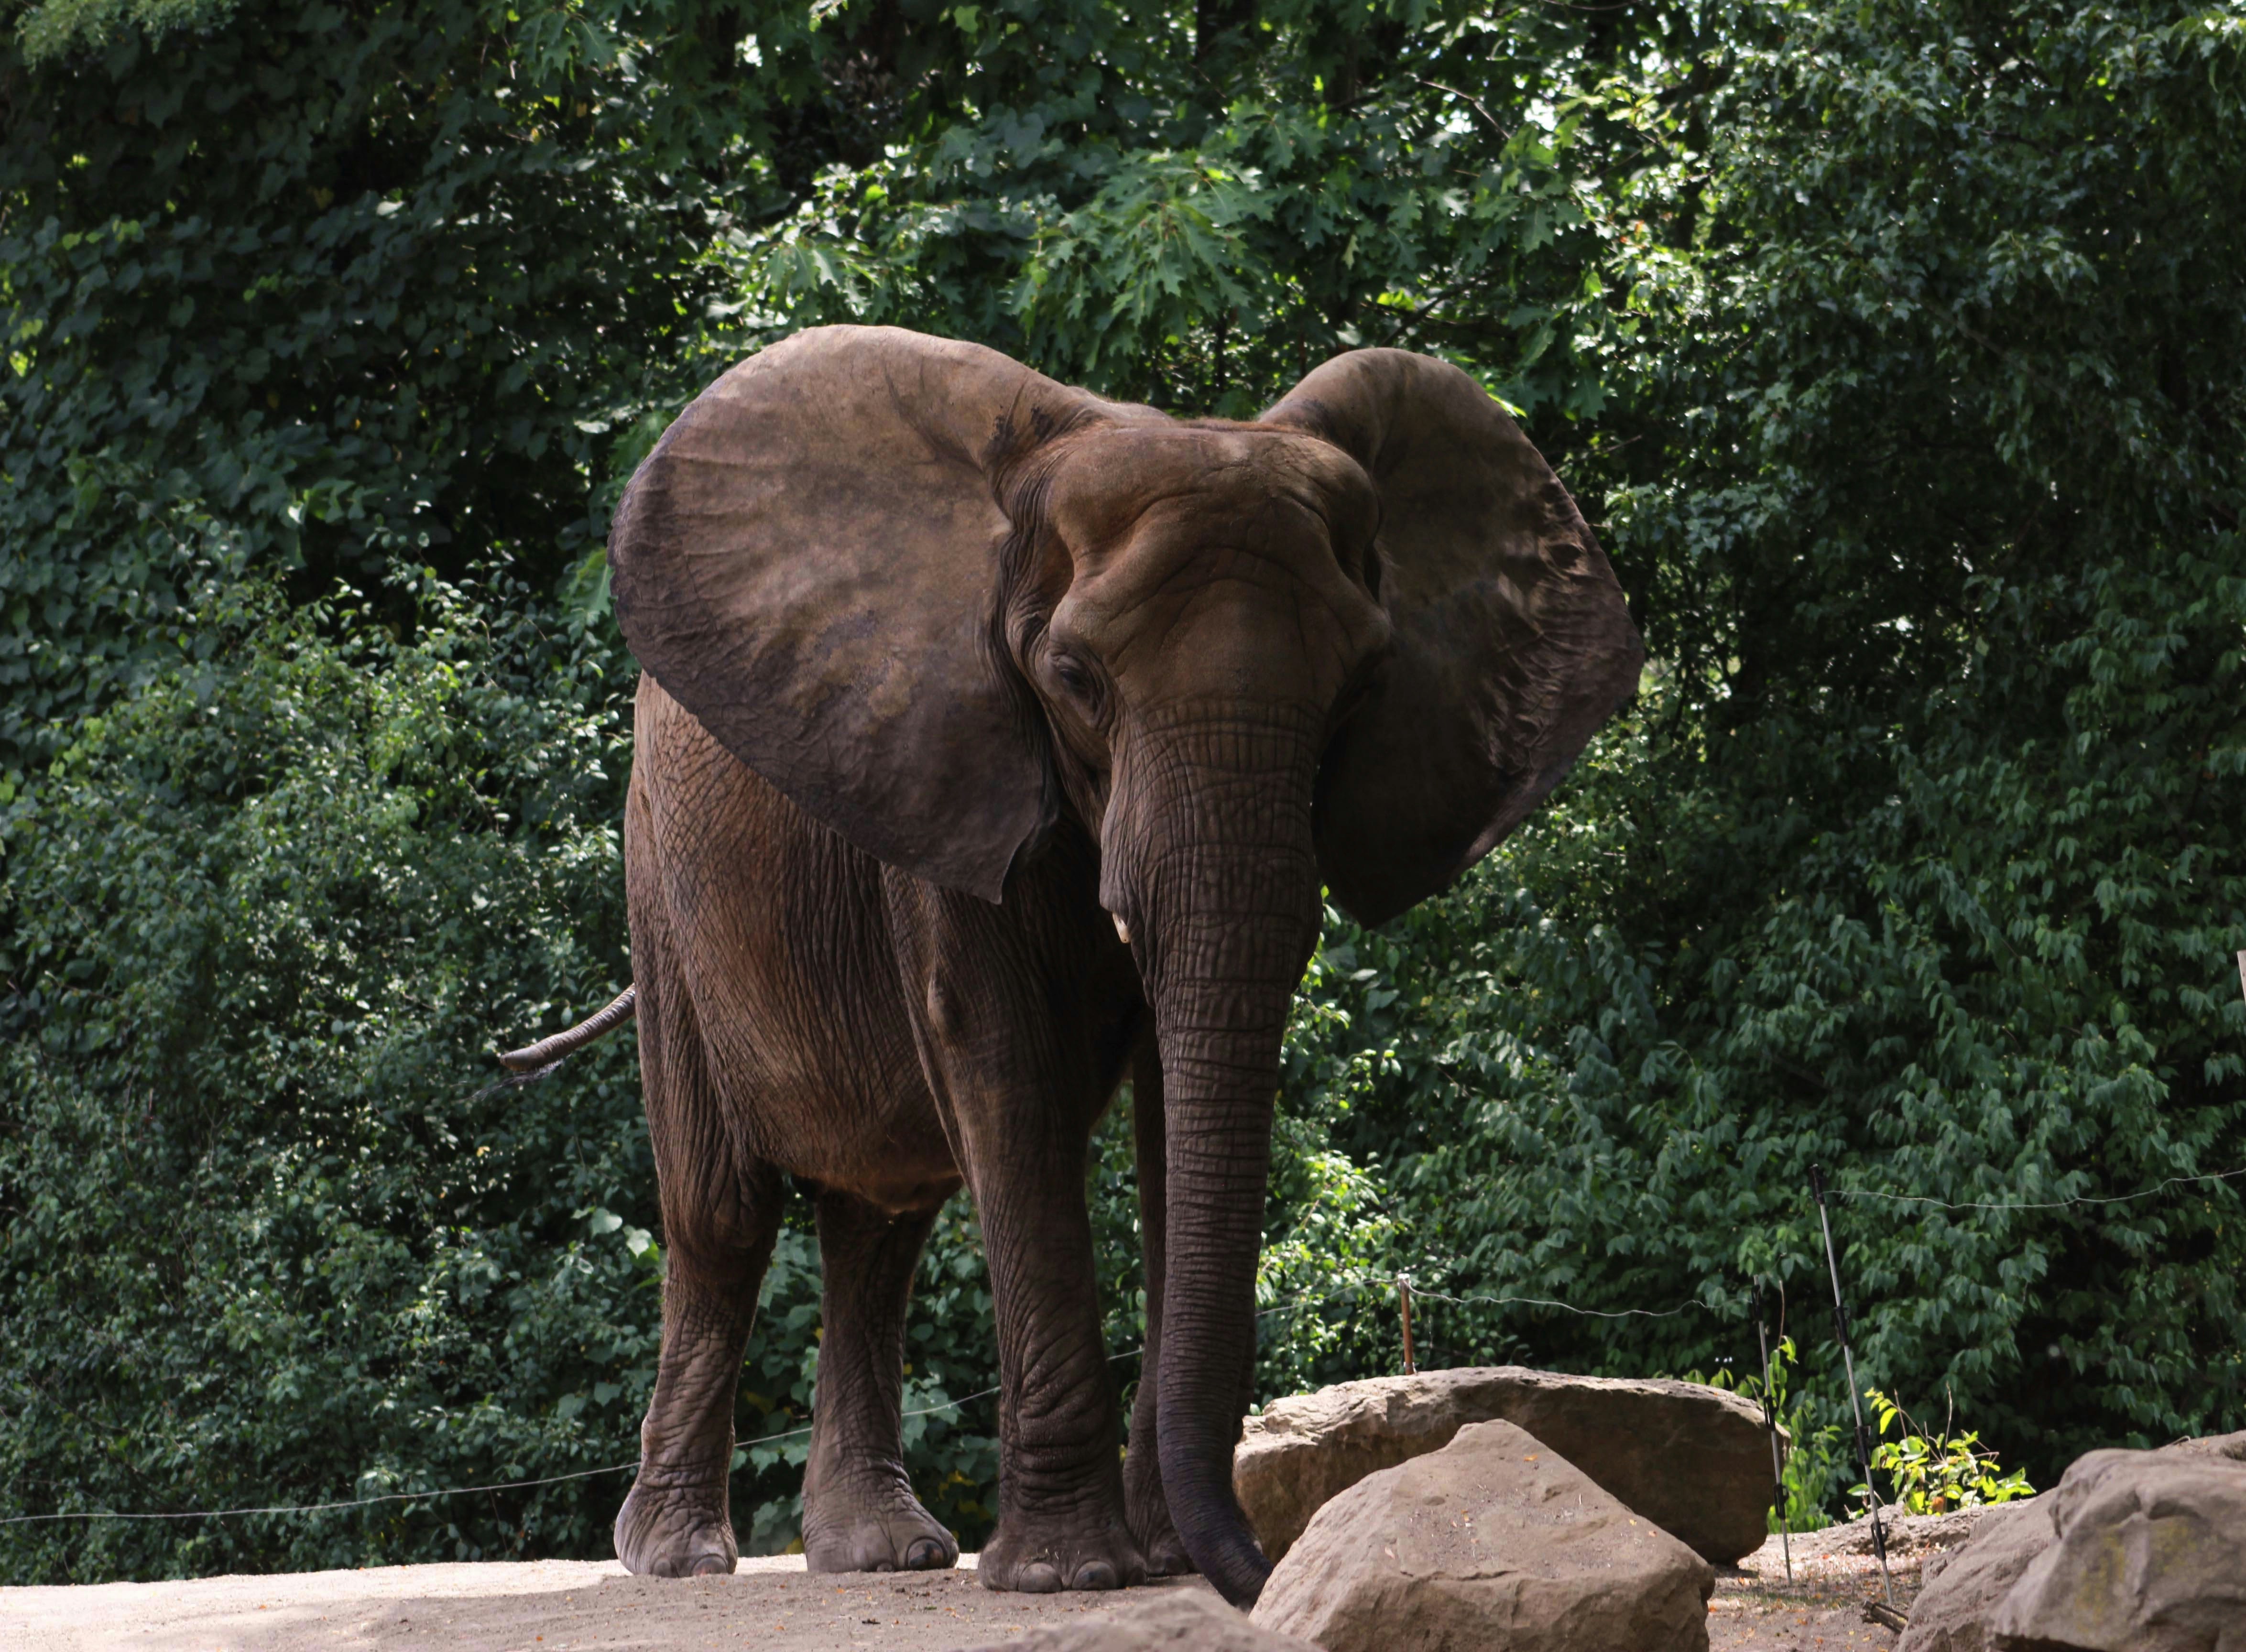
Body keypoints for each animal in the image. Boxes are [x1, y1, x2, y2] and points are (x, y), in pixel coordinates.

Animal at [501, 325, 1642, 1608]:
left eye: (1360, 689)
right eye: (1077, 679)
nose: (1257, 1573)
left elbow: (1165, 1106)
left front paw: (1154, 1558)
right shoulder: (949, 751)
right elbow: (1004, 1064)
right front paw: (1071, 1574)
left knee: (880, 1224)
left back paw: (880, 1550)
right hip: (660, 877)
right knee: (723, 1213)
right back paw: (680, 1555)